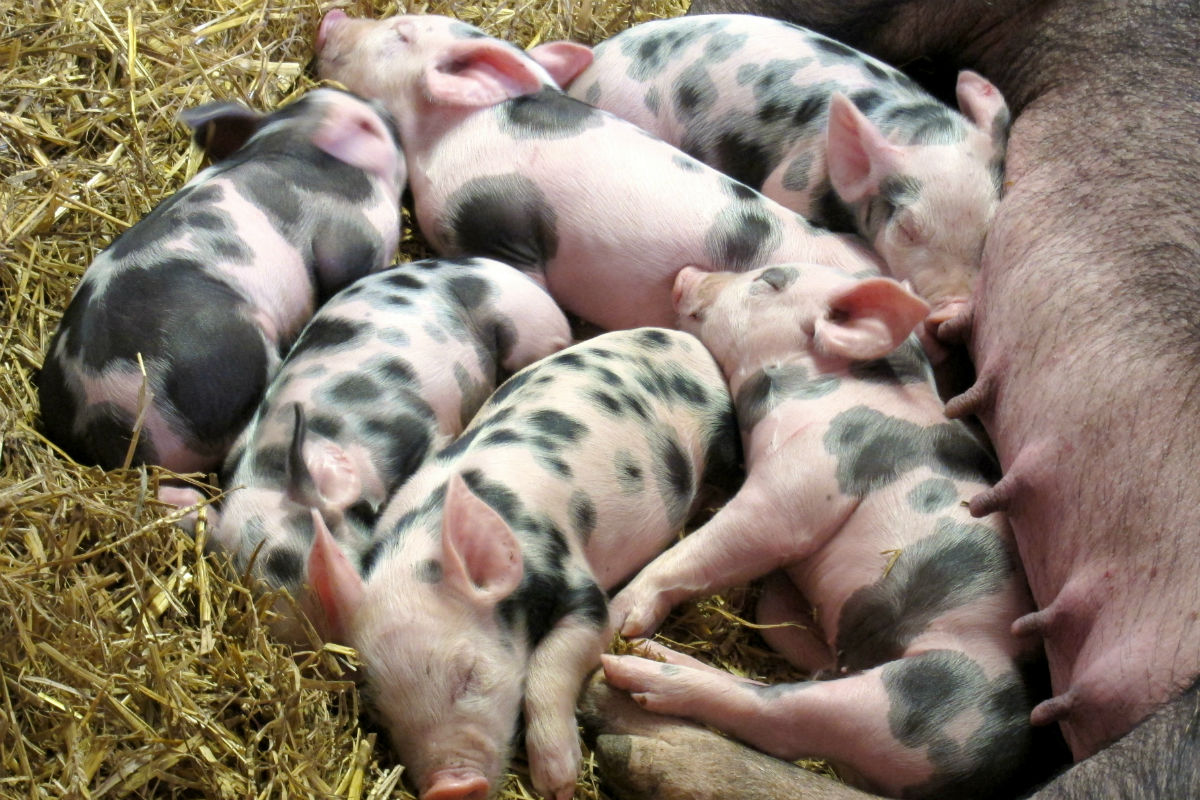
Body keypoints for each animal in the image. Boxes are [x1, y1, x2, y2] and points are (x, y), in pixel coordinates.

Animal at [303, 328, 741, 800]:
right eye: (380, 709)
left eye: (470, 674)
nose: (449, 787)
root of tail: (685, 338)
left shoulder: (578, 584)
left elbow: (552, 662)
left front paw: (558, 783)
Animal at [602, 264, 1038, 799]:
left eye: (770, 281)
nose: (687, 272)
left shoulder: (809, 476)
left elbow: (734, 539)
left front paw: (619, 615)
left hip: (925, 701)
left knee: (781, 716)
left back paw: (636, 664)